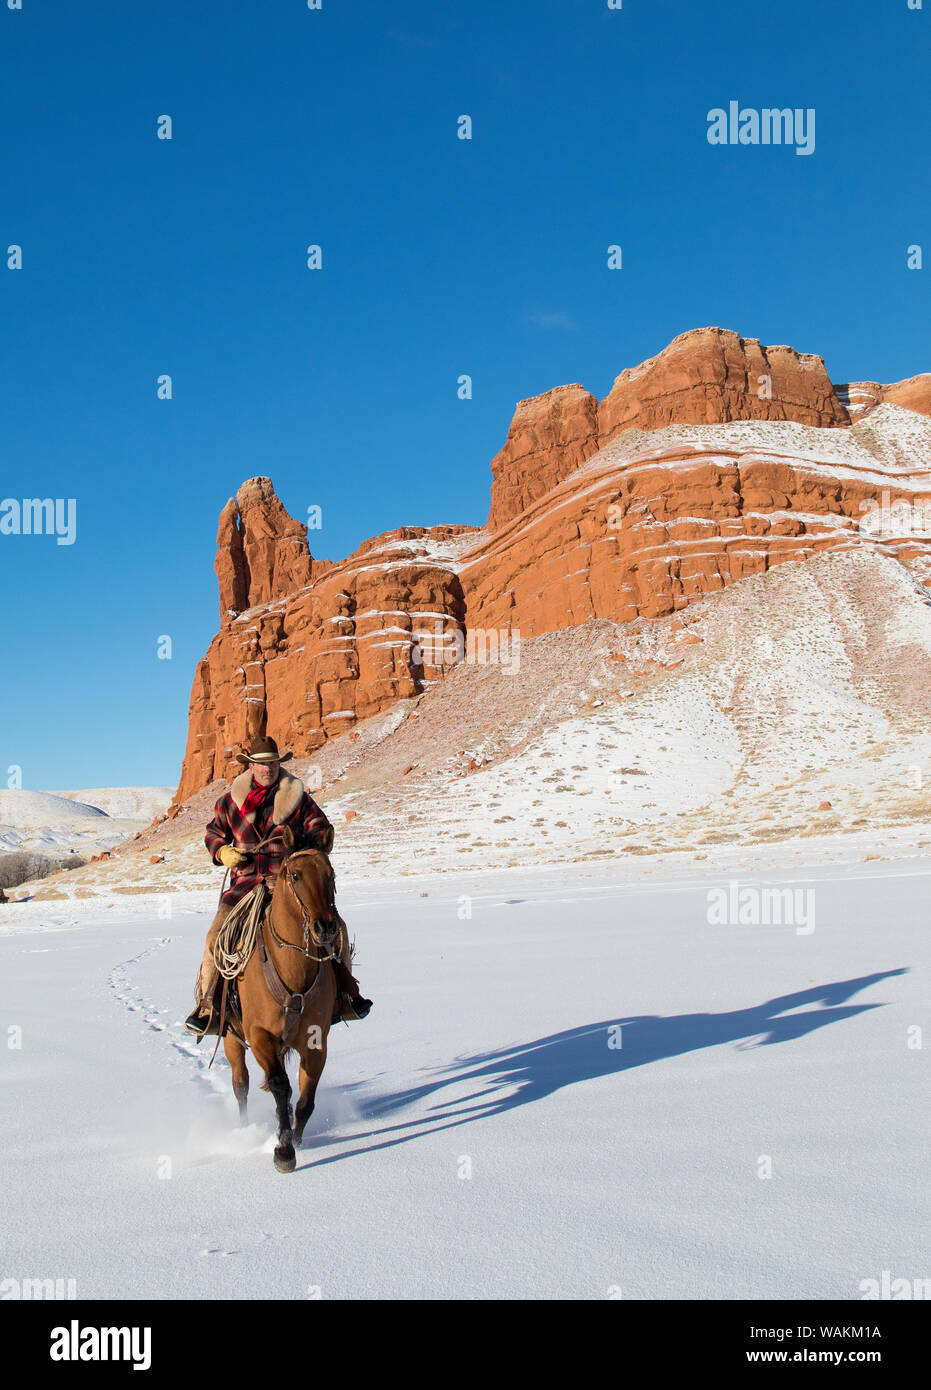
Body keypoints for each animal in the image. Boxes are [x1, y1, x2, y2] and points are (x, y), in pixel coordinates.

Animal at [221, 827, 341, 1173]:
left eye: (330, 874)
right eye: (296, 875)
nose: (325, 928)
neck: (292, 968)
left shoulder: (316, 1041)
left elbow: (305, 1098)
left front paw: (296, 1139)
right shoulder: (260, 1036)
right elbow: (279, 1085)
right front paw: (284, 1151)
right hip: (231, 1039)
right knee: (241, 1084)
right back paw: (245, 1129)